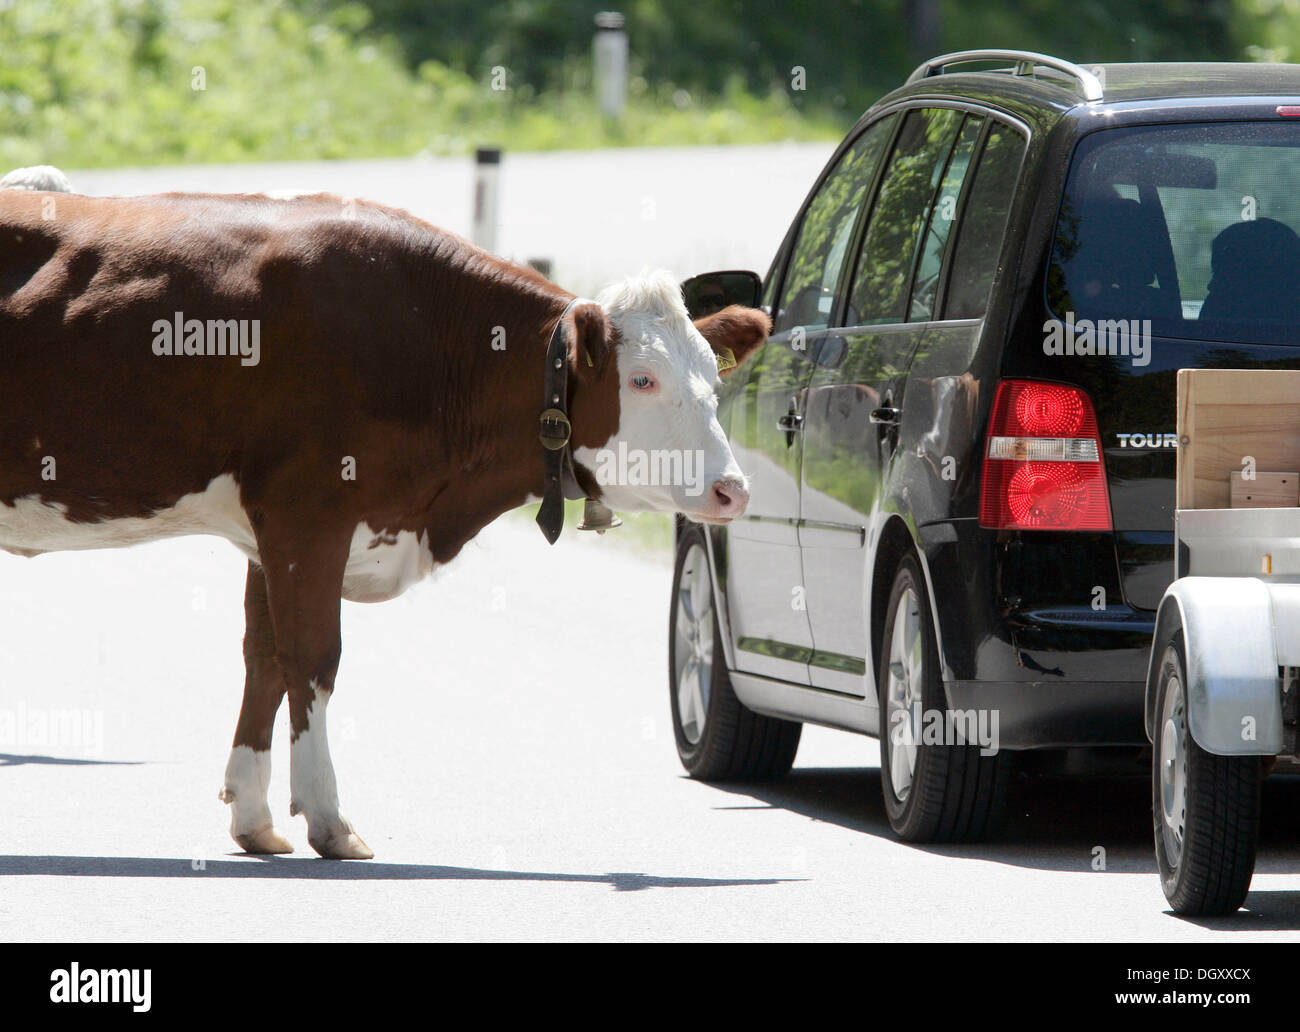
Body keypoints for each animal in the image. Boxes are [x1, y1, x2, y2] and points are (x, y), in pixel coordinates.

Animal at [0, 183, 769, 858]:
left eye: (715, 377)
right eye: (642, 379)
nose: (733, 489)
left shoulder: (268, 531)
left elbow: (265, 659)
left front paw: (253, 817)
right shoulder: (306, 515)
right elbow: (312, 659)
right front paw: (329, 820)